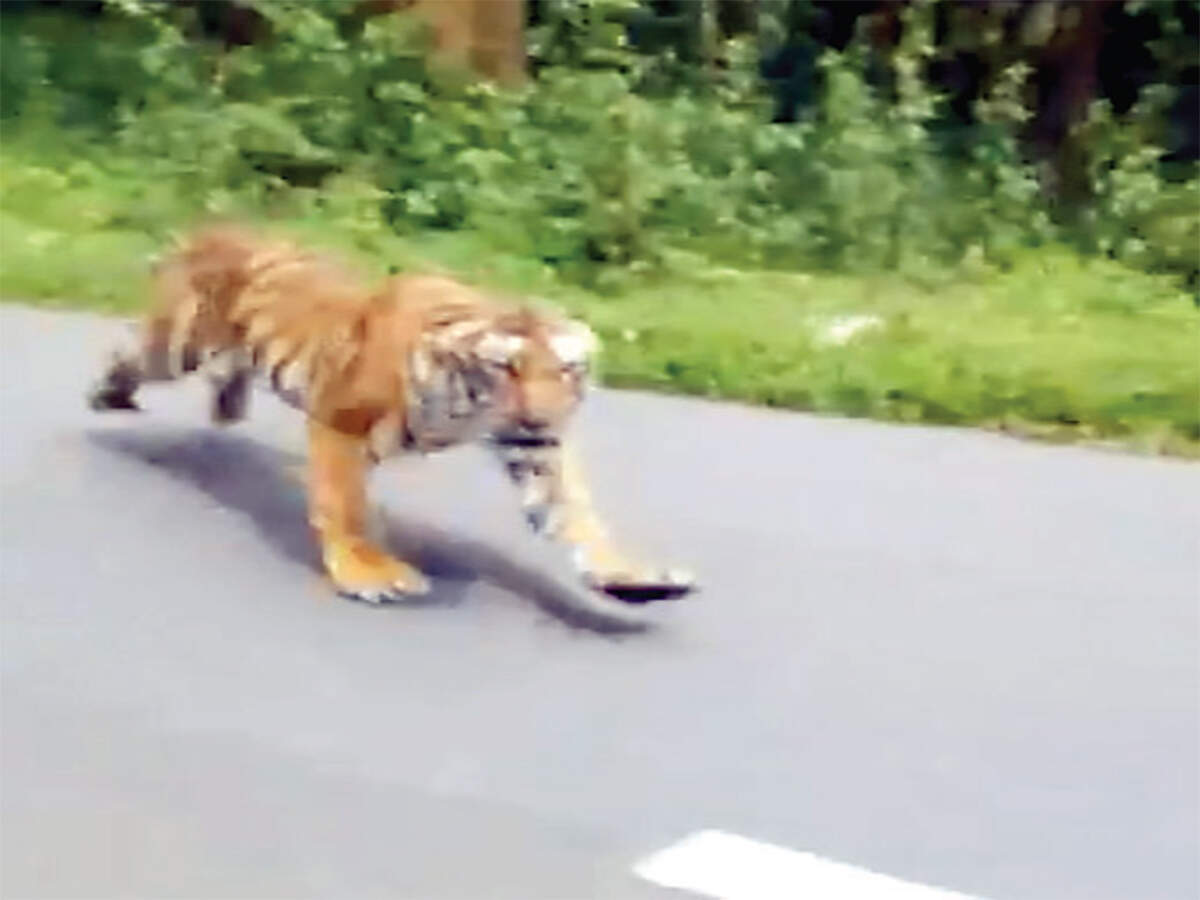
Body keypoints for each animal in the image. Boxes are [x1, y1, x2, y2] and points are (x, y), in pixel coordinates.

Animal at [87, 227, 695, 605]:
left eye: (567, 370)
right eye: (507, 368)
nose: (540, 417)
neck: (467, 406)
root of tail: (212, 229)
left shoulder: (537, 451)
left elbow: (579, 516)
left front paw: (634, 580)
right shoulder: (342, 423)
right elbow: (347, 506)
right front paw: (369, 574)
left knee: (226, 378)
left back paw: (226, 407)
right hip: (176, 344)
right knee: (129, 355)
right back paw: (108, 397)